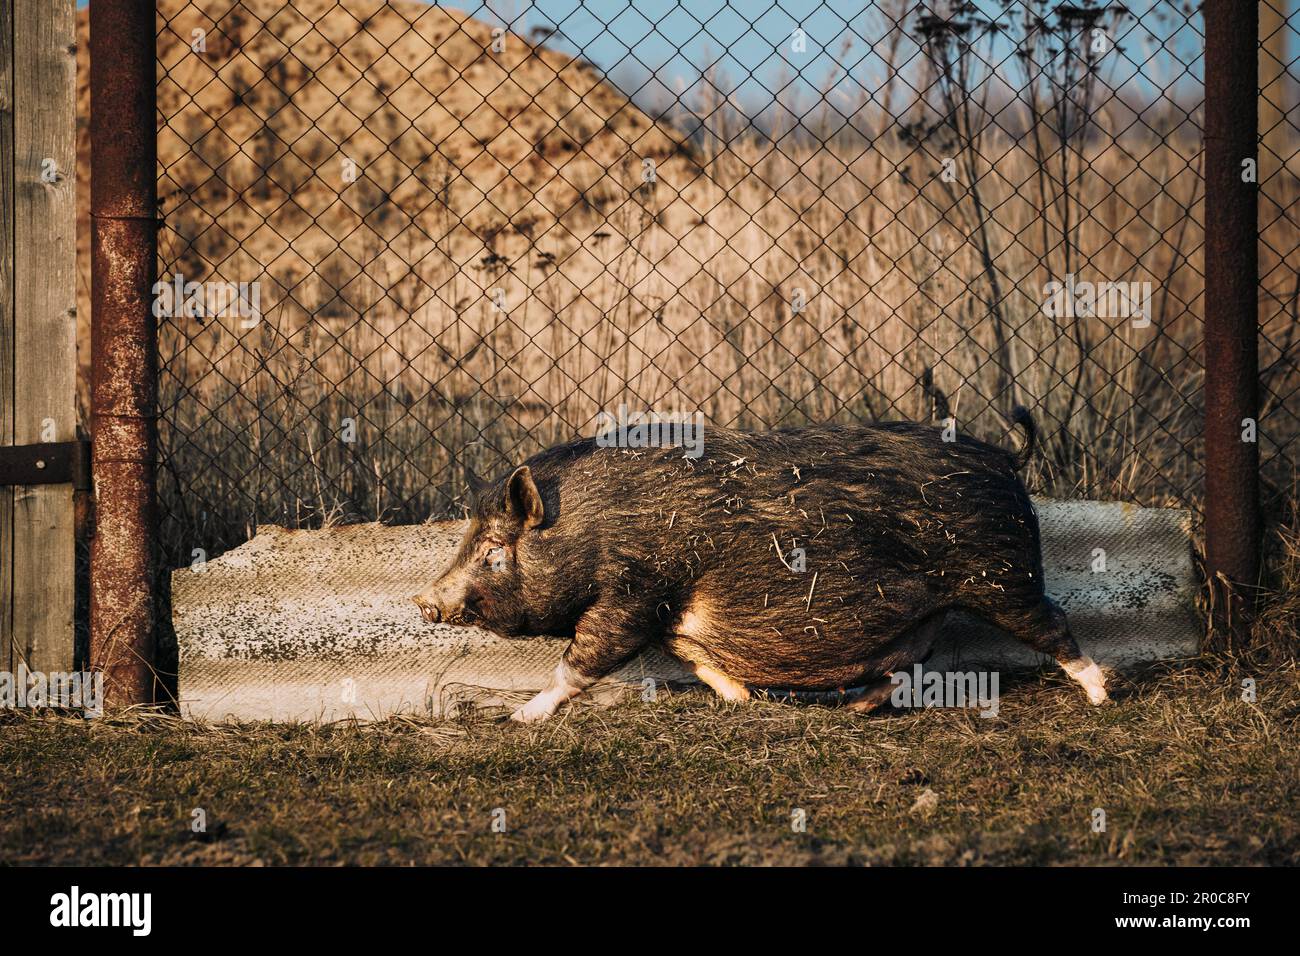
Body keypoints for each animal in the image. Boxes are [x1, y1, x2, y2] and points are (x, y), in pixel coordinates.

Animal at [412, 408, 1108, 722]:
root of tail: (1008, 458)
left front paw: (519, 717)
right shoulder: (666, 615)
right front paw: (742, 698)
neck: (589, 531)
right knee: (912, 659)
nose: (424, 599)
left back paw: (1103, 694)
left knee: (1052, 622)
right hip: (934, 606)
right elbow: (695, 657)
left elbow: (583, 659)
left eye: (494, 550)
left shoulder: (632, 594)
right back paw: (854, 709)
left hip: (1002, 575)